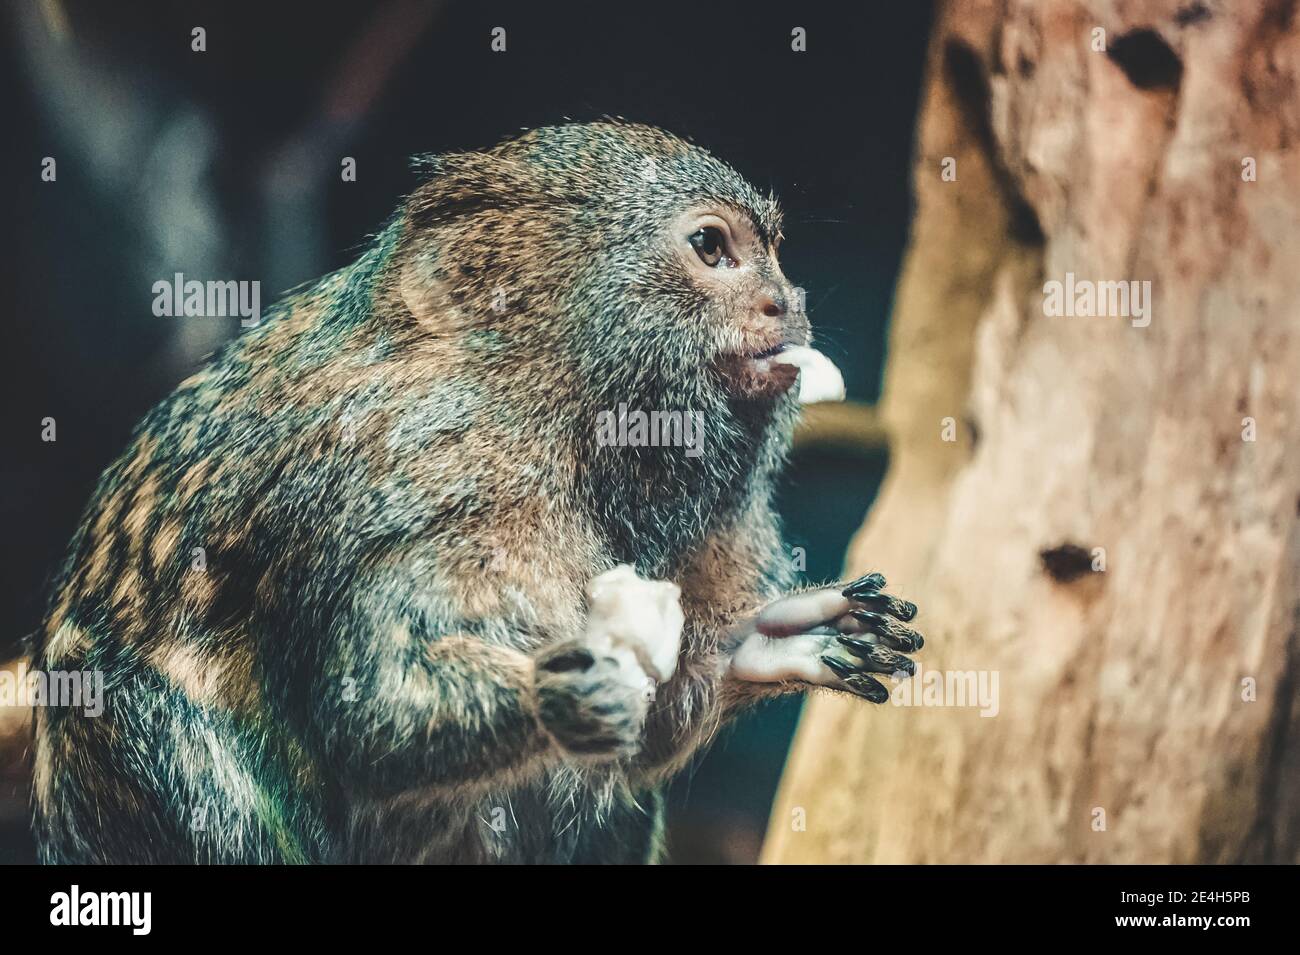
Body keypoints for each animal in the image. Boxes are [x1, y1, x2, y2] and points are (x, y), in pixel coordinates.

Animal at [30, 122, 924, 864]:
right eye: (711, 246)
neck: (556, 422)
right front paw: (558, 695)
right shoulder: (420, 474)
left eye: (774, 252)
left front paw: (772, 638)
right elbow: (373, 712)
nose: (787, 303)